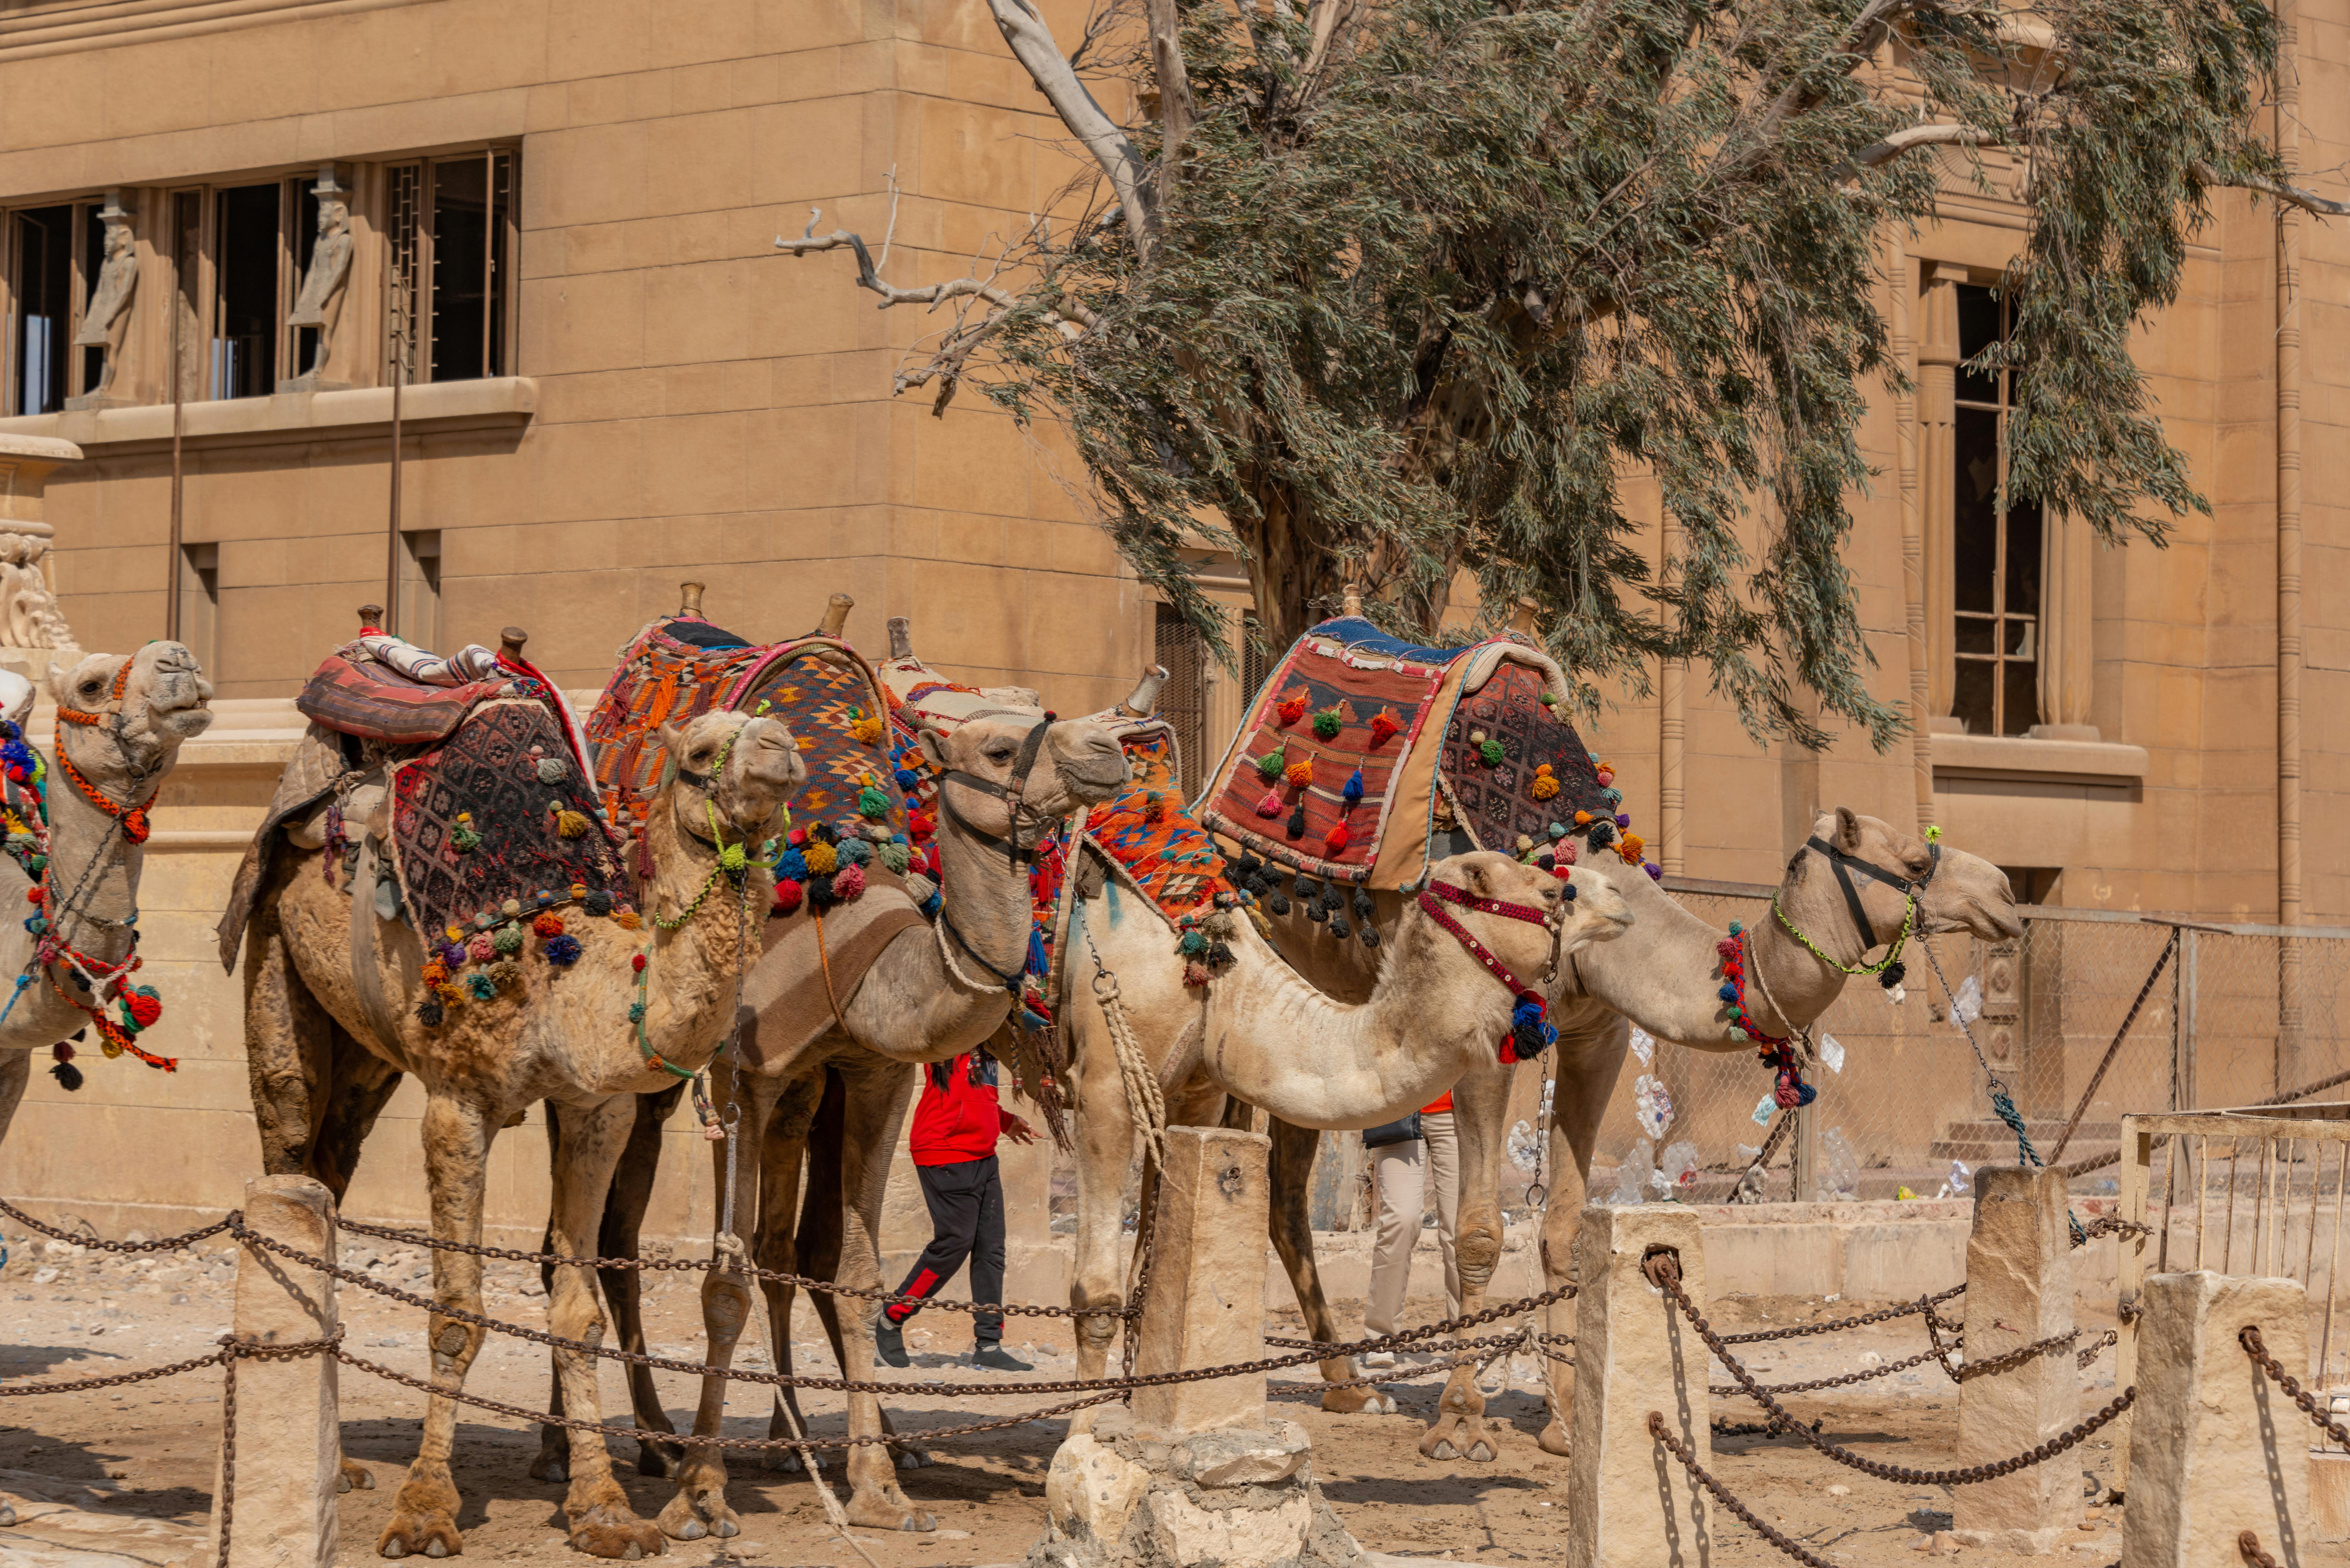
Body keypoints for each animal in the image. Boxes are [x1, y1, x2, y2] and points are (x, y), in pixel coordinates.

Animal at [239, 696, 805, 1560]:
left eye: (769, 726)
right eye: (702, 752)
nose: (782, 749)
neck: (565, 972)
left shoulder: (596, 1108)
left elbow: (578, 1312)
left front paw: (605, 1511)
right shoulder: (459, 1104)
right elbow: (456, 1313)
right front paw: (424, 1511)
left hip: (367, 1051)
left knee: (331, 1168)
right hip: (273, 949)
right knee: (289, 1133)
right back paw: (332, 1466)